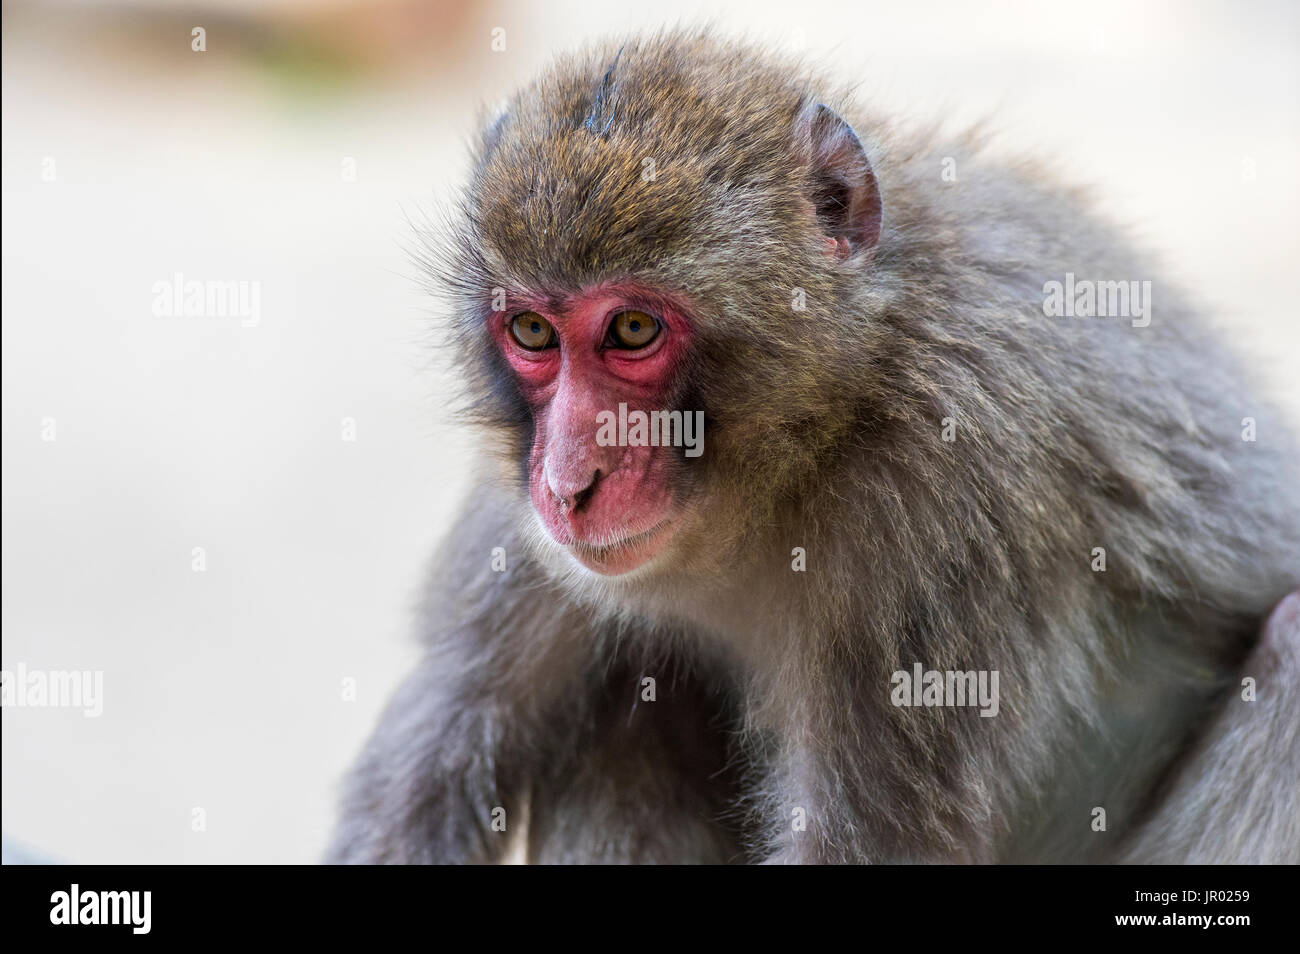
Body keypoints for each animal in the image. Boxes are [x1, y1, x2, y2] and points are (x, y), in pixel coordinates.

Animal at [326, 30, 1300, 864]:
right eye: (532, 331)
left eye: (633, 330)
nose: (569, 483)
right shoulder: (522, 520)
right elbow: (431, 761)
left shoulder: (941, 499)